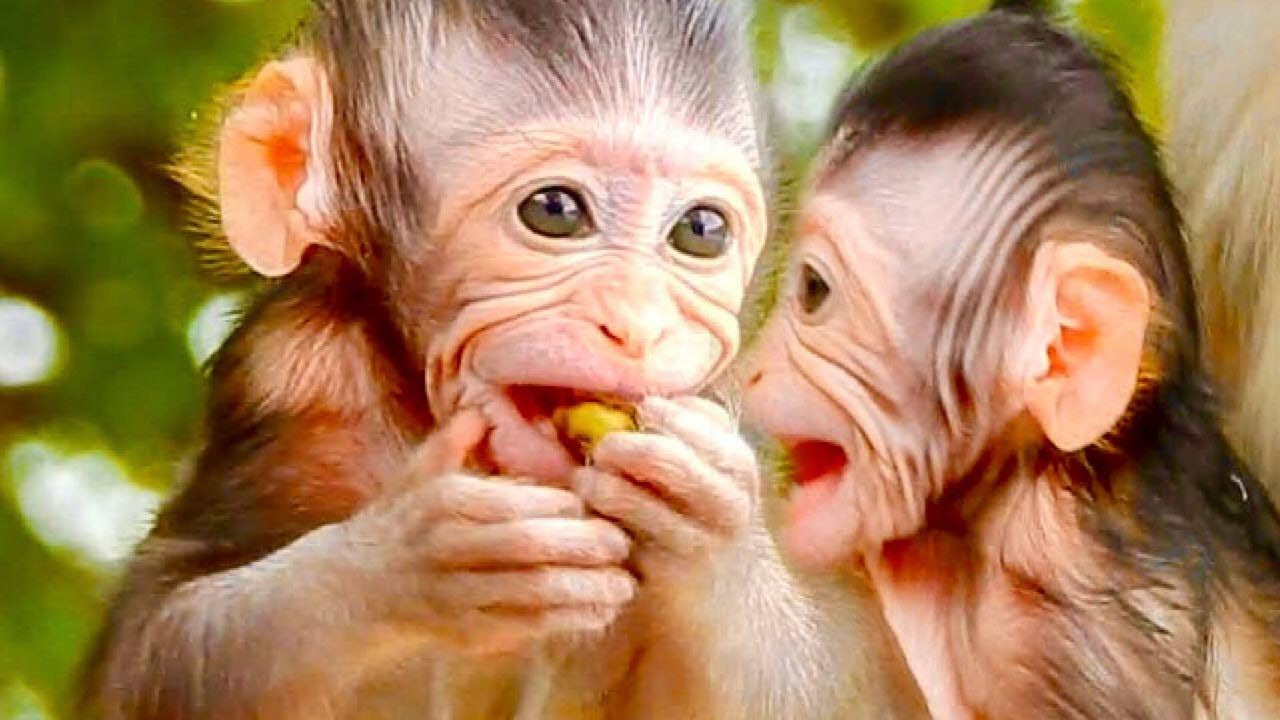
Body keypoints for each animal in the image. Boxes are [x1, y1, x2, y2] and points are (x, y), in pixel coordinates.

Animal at [76, 1, 911, 718]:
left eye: (700, 230)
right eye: (554, 211)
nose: (638, 324)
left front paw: (710, 525)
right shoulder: (295, 378)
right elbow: (157, 646)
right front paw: (414, 561)